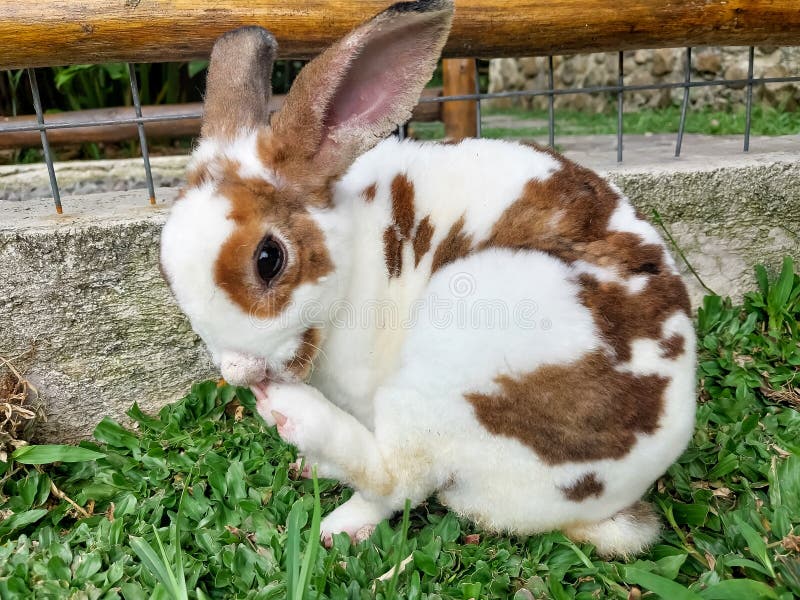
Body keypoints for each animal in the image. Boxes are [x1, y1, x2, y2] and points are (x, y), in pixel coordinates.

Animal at [160, 0, 696, 557]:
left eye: (269, 259)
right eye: (166, 271)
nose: (240, 373)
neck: (359, 253)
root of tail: (598, 507)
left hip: (454, 362)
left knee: (400, 478)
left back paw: (302, 440)